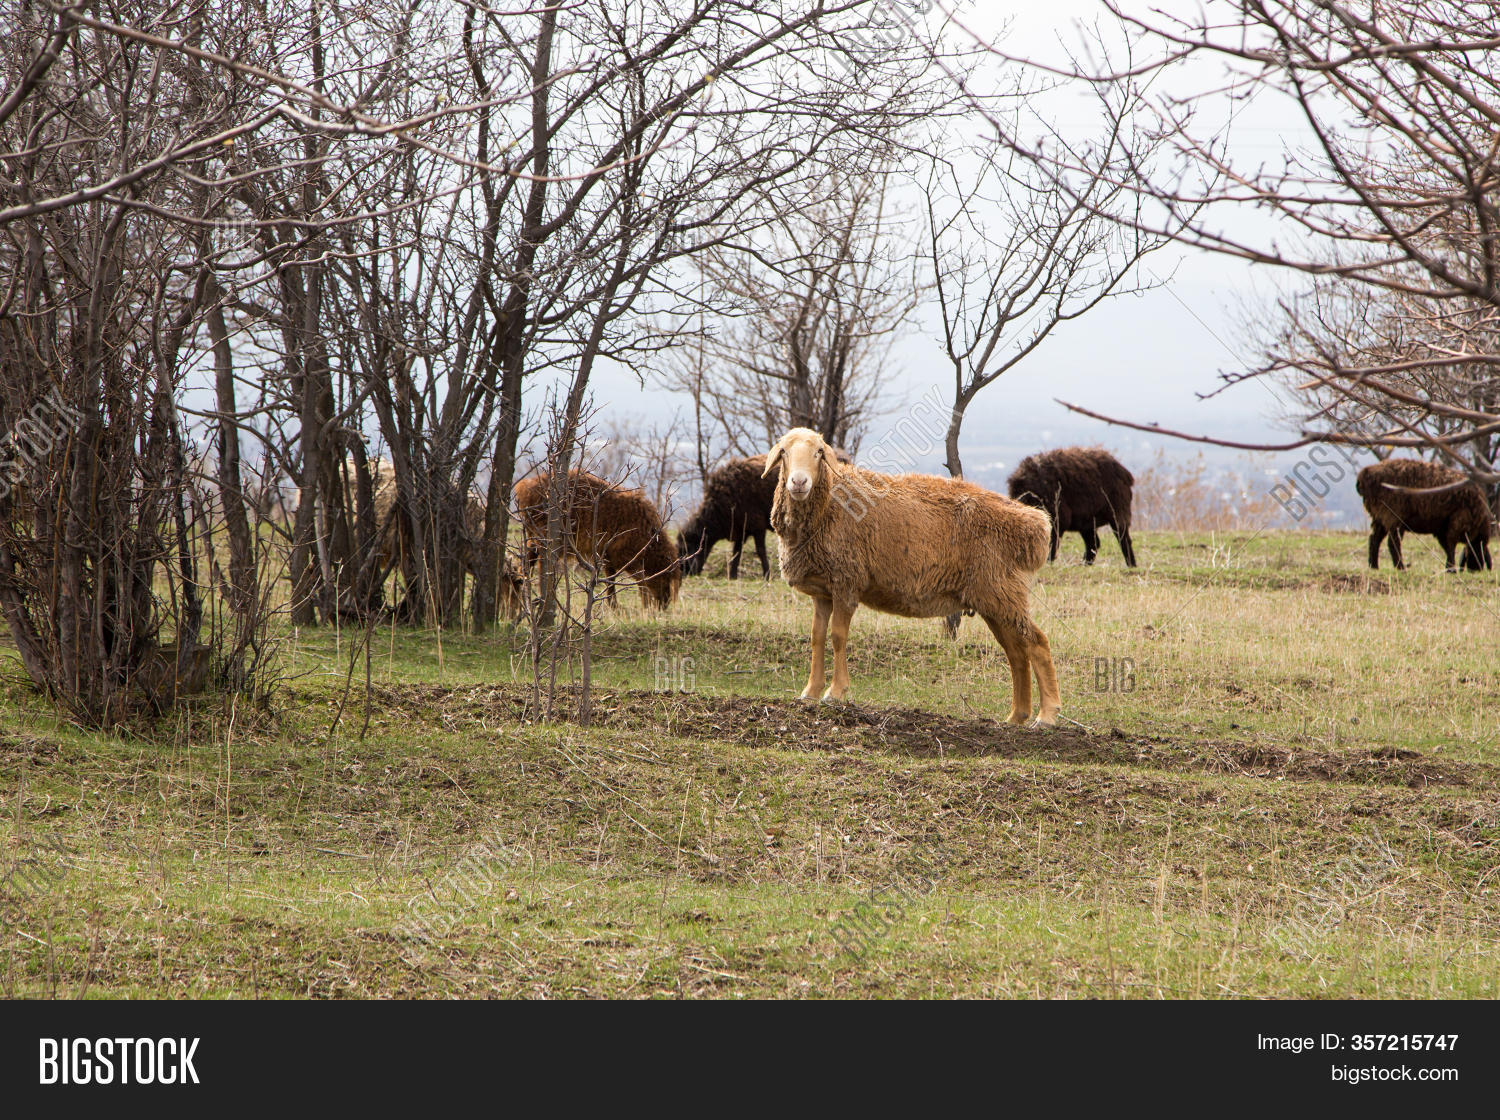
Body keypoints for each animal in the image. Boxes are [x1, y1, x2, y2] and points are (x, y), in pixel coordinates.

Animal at [513, 469, 681, 609]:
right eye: (665, 579)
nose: (663, 605)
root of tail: (524, 489)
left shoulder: (609, 553)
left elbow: (612, 577)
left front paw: (615, 605)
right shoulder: (619, 553)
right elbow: (621, 579)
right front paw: (617, 606)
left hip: (534, 534)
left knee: (528, 557)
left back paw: (521, 582)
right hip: (545, 535)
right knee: (541, 561)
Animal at [763, 427, 1060, 726]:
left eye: (819, 453)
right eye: (783, 451)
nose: (798, 482)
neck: (830, 504)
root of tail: (1034, 524)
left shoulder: (847, 581)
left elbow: (837, 636)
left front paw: (835, 692)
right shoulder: (823, 591)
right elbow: (816, 636)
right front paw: (810, 692)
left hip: (1002, 590)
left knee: (1037, 644)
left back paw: (1046, 715)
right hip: (994, 598)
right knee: (1017, 652)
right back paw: (1017, 716)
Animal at [1007, 446, 1137, 566]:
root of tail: (1125, 473)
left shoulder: (1057, 519)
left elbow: (1051, 543)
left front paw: (1048, 562)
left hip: (1118, 512)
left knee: (1123, 539)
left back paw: (1131, 564)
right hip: (1088, 520)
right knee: (1093, 543)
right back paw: (1084, 563)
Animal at [1355, 458, 1494, 572]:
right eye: (1480, 553)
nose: (1475, 570)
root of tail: (1365, 475)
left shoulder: (1442, 529)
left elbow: (1446, 546)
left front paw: (1449, 568)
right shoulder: (1457, 523)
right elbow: (1451, 545)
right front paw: (1451, 569)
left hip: (1379, 516)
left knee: (1374, 539)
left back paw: (1374, 566)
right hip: (1393, 515)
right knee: (1392, 543)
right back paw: (1401, 568)